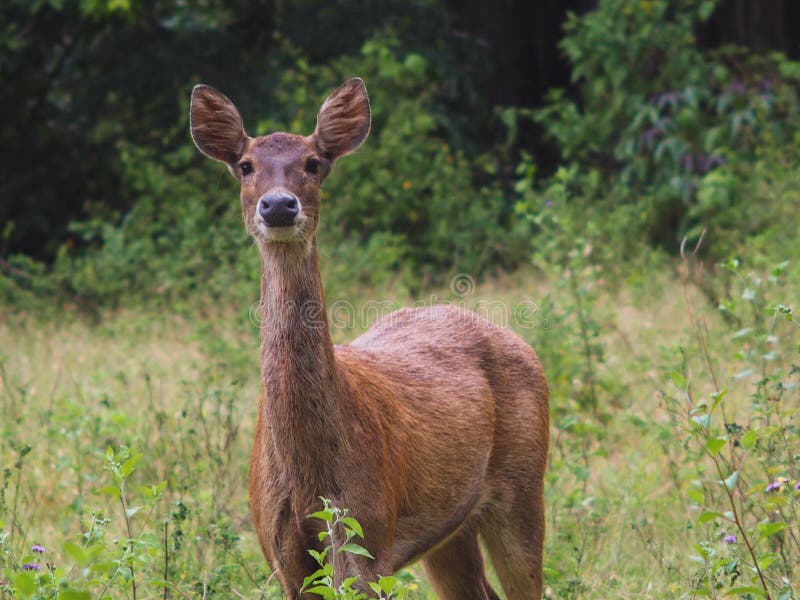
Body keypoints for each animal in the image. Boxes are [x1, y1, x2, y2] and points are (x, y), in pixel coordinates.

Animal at [189, 78, 550, 599]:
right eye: (245, 165)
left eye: (314, 162)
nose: (278, 205)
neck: (310, 474)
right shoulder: (279, 550)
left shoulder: (366, 531)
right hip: (449, 529)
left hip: (522, 483)